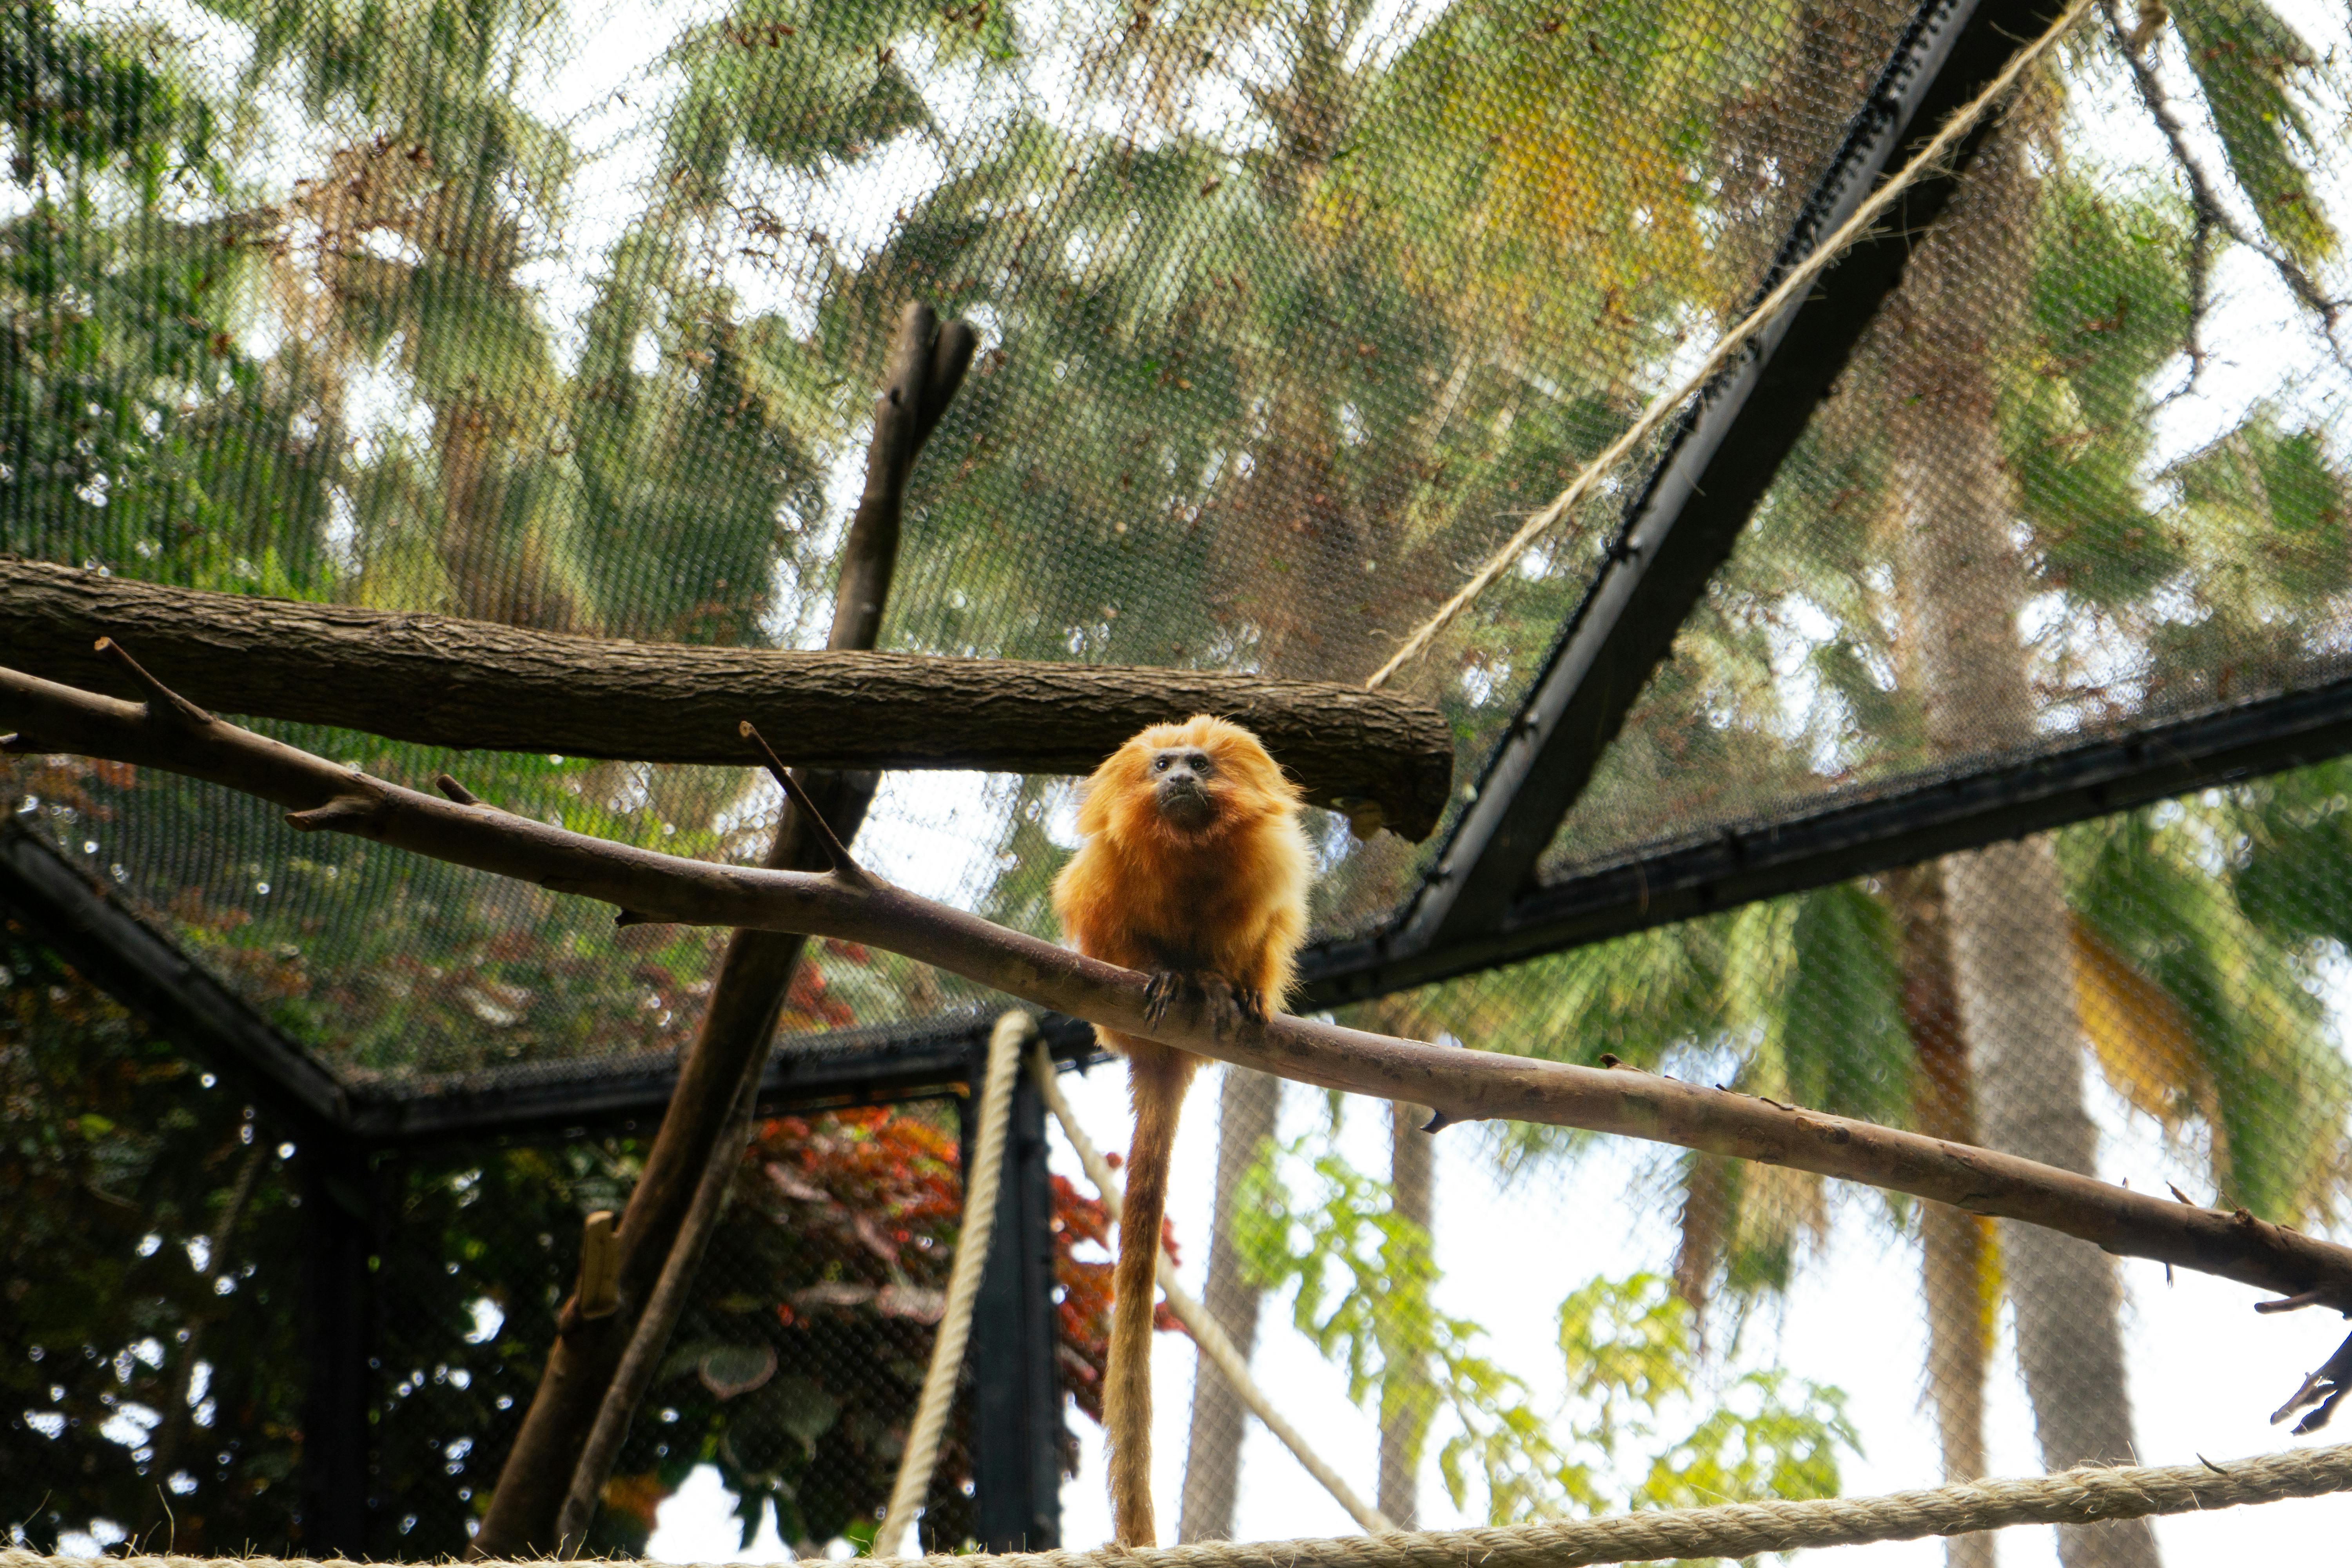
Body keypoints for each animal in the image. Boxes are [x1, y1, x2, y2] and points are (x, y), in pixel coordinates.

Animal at [1052, 714, 1313, 1547]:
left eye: (1199, 764)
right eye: (1162, 765)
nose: (1180, 780)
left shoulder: (1269, 875)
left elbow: (1267, 925)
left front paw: (1232, 989)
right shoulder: (1103, 884)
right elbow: (1105, 914)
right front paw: (1174, 974)